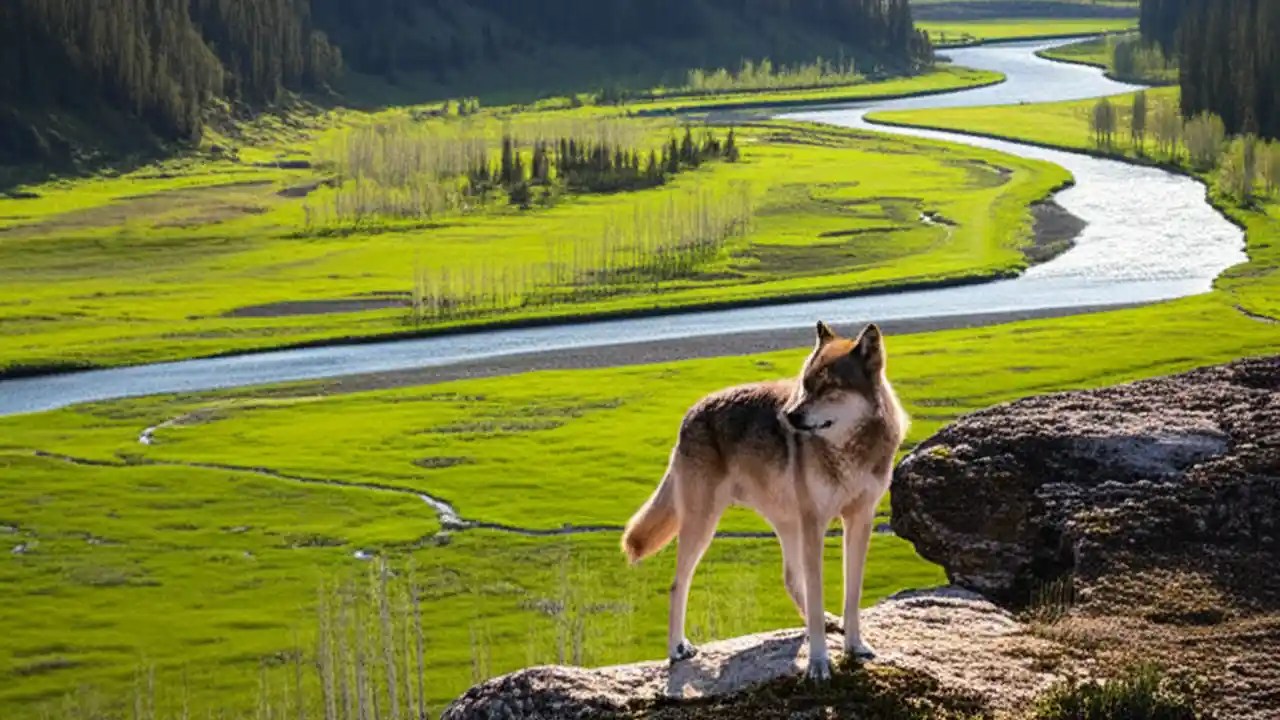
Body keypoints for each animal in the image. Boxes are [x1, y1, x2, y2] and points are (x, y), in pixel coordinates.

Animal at [620, 321, 908, 681]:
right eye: (805, 384)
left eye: (827, 387)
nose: (788, 416)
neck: (850, 450)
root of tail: (690, 413)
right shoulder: (815, 524)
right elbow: (816, 596)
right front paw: (818, 664)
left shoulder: (859, 520)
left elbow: (851, 595)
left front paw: (855, 646)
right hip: (705, 526)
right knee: (677, 584)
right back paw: (677, 649)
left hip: (786, 525)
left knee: (789, 579)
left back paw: (827, 623)